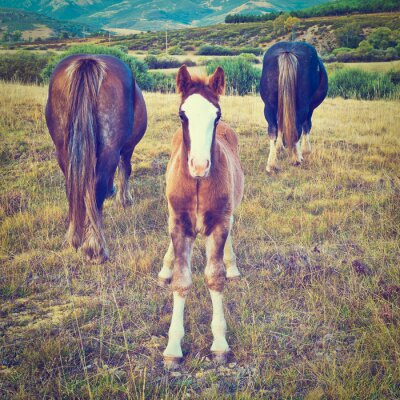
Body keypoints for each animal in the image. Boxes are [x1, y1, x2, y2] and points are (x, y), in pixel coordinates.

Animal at [45, 54, 148, 264]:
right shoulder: (126, 149)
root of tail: (88, 61)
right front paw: (124, 200)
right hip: (110, 150)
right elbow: (125, 169)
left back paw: (76, 238)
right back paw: (95, 248)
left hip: (64, 152)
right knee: (96, 188)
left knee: (73, 188)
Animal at [159, 65, 244, 368]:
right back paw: (164, 269)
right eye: (182, 114)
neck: (196, 184)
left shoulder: (218, 223)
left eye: (216, 115)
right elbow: (181, 280)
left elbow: (214, 277)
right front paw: (173, 348)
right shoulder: (179, 224)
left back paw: (233, 266)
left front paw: (219, 343)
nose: (199, 165)